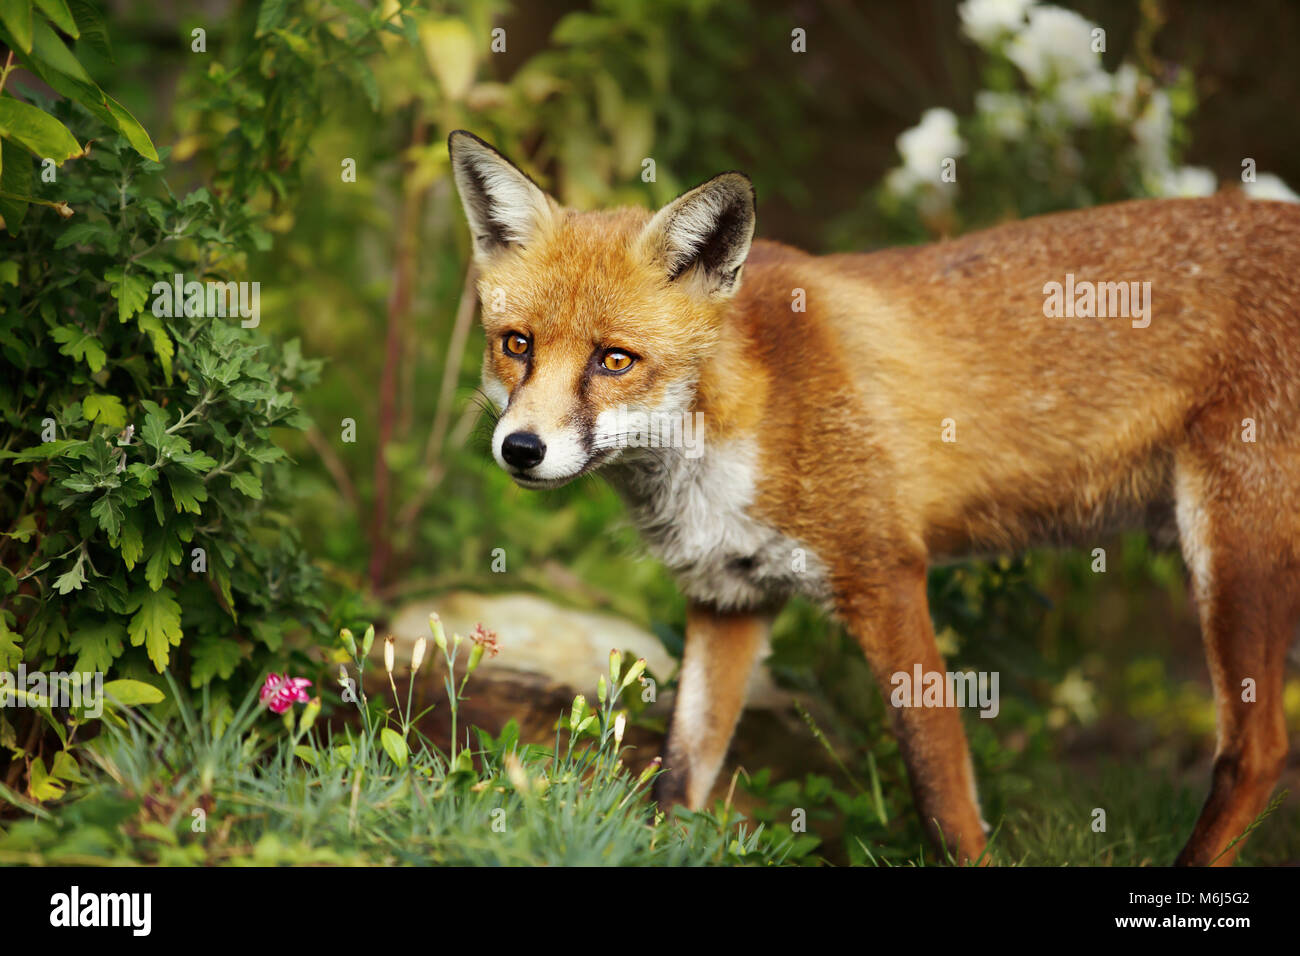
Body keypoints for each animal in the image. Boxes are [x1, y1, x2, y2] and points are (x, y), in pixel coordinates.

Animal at [447, 129, 1300, 866]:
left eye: (615, 360)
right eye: (517, 345)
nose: (520, 449)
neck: (736, 425)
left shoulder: (885, 576)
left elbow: (941, 787)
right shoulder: (728, 597)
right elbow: (682, 773)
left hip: (1232, 548)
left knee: (1256, 753)